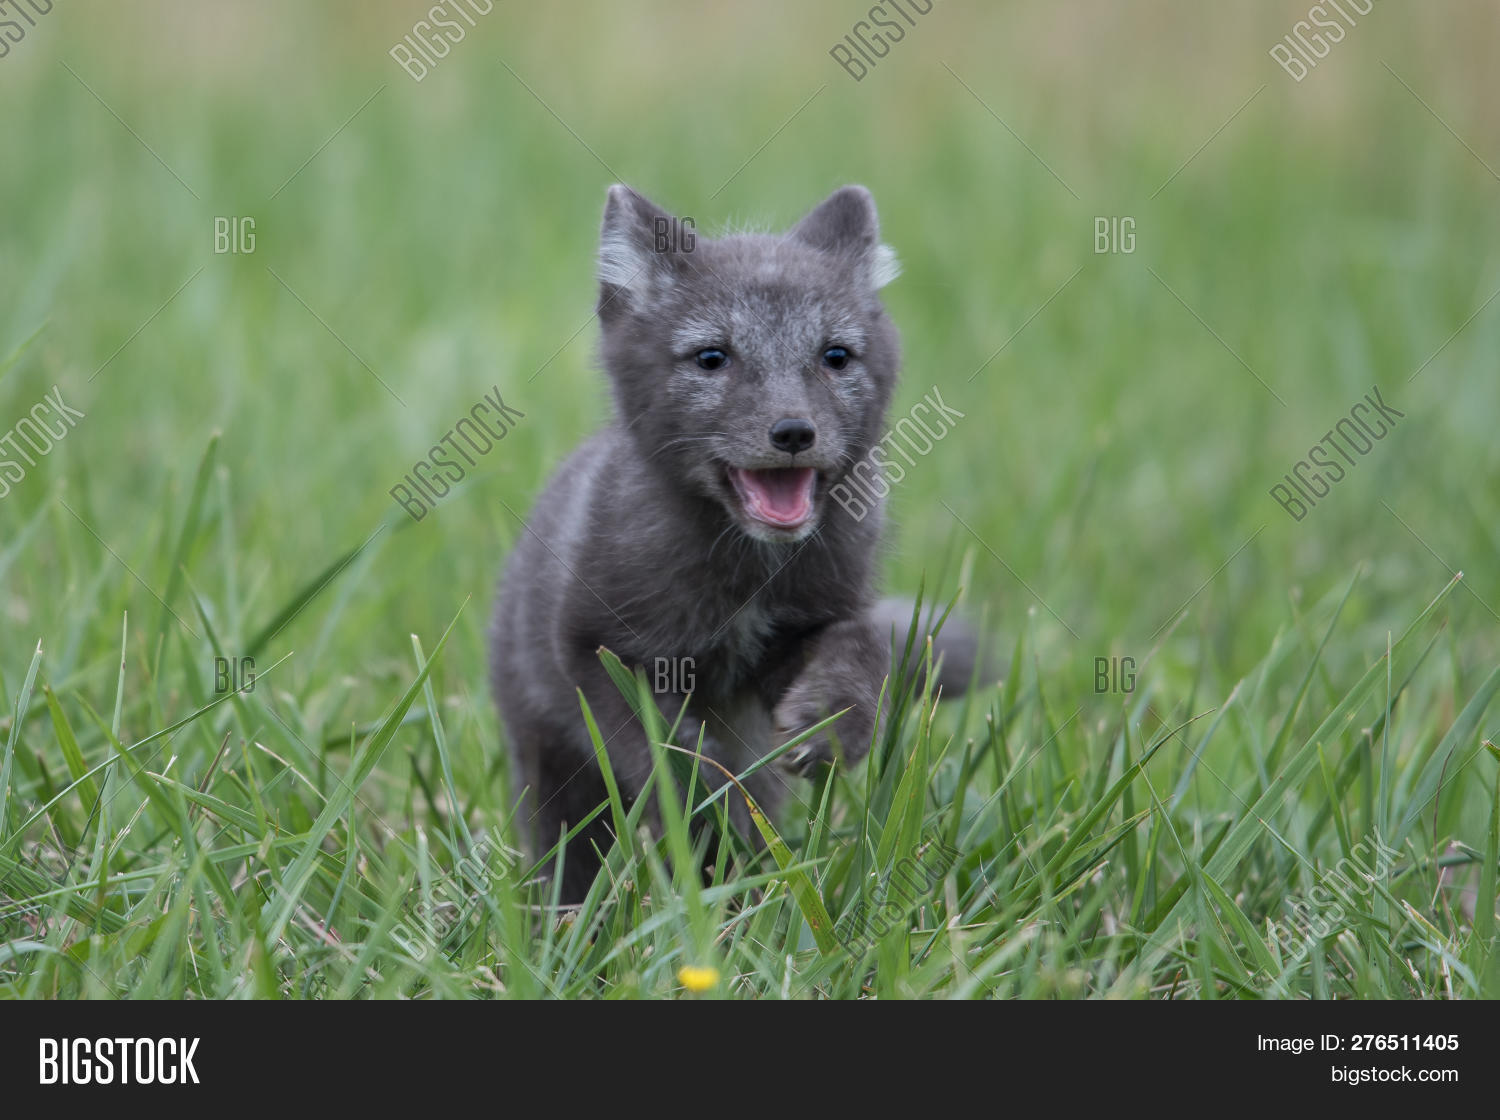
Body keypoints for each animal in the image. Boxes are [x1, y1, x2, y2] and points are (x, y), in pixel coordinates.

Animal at [489, 184, 977, 902]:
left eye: (835, 356)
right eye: (712, 358)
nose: (794, 431)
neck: (750, 571)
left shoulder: (815, 622)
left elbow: (864, 647)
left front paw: (831, 725)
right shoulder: (595, 647)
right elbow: (671, 760)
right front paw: (715, 812)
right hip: (553, 769)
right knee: (569, 856)